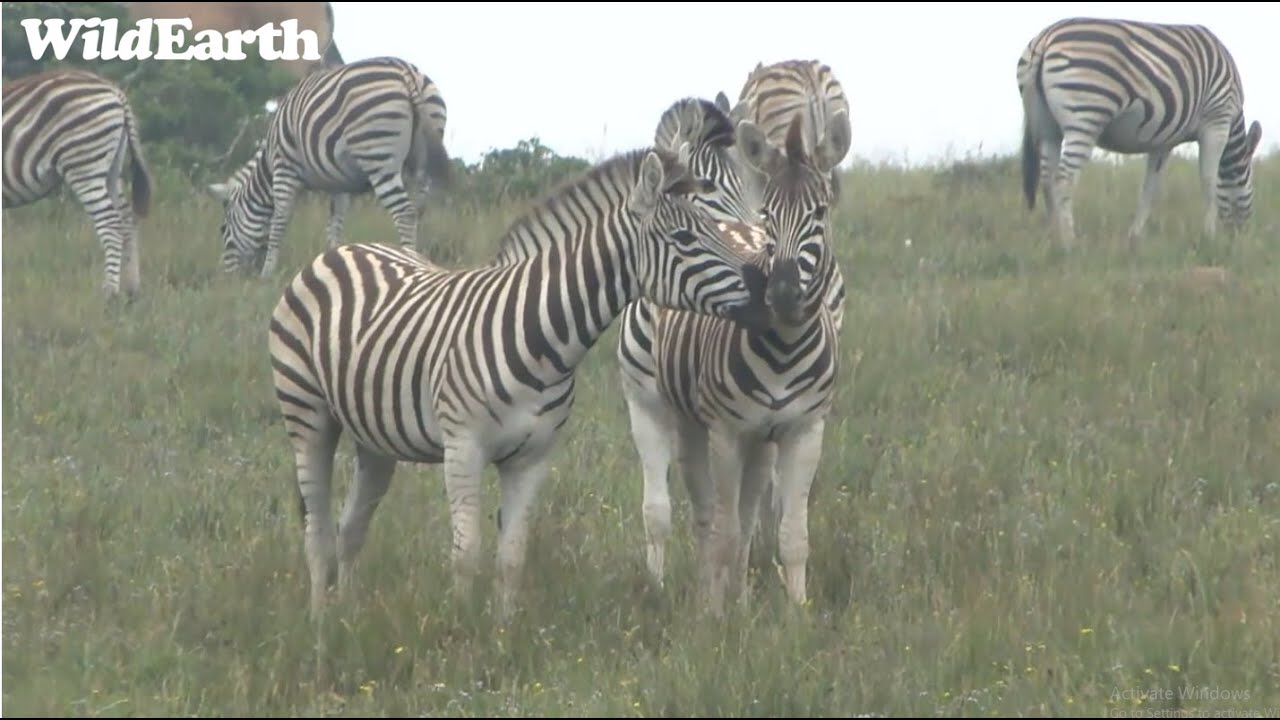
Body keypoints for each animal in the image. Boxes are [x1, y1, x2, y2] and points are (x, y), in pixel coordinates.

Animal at [3, 68, 153, 298]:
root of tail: (115, 90)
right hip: (111, 167)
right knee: (126, 219)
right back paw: (131, 291)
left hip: (84, 165)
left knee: (110, 224)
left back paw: (110, 294)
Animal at [208, 55, 451, 278]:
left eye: (222, 230)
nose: (226, 278)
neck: (268, 164)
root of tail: (406, 71)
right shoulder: (340, 183)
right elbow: (334, 225)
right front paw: (332, 263)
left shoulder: (284, 169)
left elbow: (279, 220)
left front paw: (267, 273)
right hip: (421, 160)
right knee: (418, 210)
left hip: (377, 155)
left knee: (405, 213)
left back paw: (410, 261)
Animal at [267, 135, 774, 623]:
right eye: (685, 237)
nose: (766, 289)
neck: (542, 338)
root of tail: (341, 251)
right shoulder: (463, 447)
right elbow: (467, 552)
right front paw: (459, 629)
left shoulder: (533, 456)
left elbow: (511, 556)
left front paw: (501, 633)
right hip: (308, 416)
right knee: (317, 529)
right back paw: (319, 625)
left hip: (374, 438)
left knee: (350, 526)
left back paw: (347, 617)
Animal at [617, 107, 852, 617]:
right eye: (769, 215)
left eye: (820, 213)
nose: (780, 294)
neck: (785, 347)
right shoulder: (726, 432)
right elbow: (723, 529)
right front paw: (717, 615)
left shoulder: (803, 430)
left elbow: (788, 532)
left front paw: (793, 614)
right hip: (650, 404)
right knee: (668, 510)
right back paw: (664, 588)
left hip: (749, 437)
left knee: (734, 512)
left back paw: (736, 593)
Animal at [1018, 16, 1263, 248]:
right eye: (1251, 185)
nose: (1240, 237)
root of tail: (1045, 39)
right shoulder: (1217, 121)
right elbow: (1209, 180)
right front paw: (1209, 236)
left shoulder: (1163, 141)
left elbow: (1149, 189)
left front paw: (1135, 238)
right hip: (1086, 115)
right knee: (1063, 179)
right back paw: (1070, 242)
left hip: (1048, 127)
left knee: (1047, 180)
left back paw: (1054, 239)